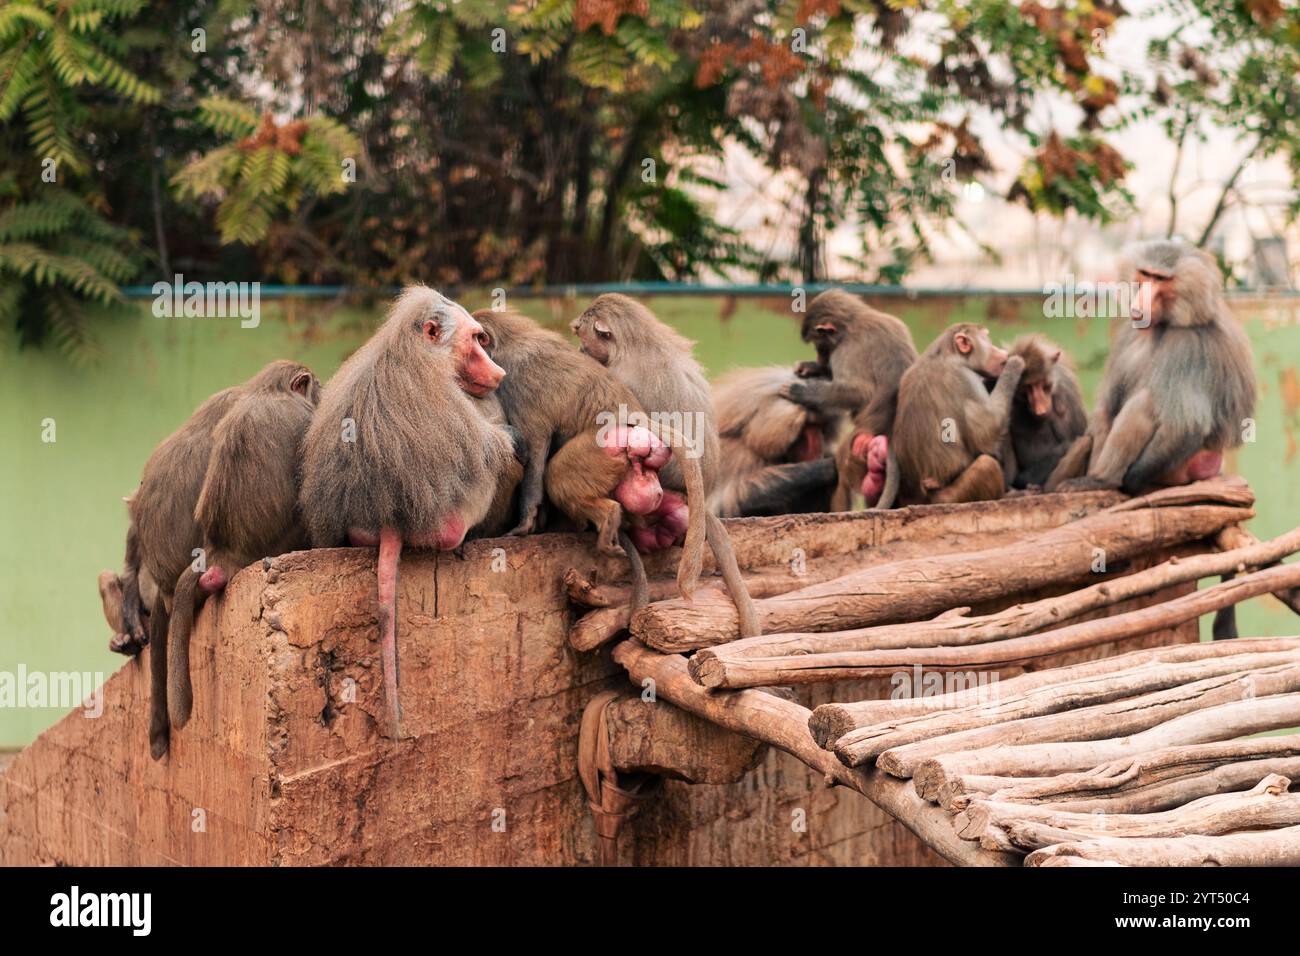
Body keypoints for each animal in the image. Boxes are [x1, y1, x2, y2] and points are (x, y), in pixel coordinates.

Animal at [299, 288, 519, 737]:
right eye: (476, 340)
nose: (499, 373)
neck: (414, 348)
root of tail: (389, 519)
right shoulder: (451, 398)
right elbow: (490, 447)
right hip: (447, 518)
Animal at [707, 366, 839, 517]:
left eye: (821, 427)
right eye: (809, 426)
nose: (817, 449)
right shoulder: (739, 455)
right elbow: (722, 508)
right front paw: (823, 469)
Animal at [777, 289, 918, 510]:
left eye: (819, 345)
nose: (819, 357)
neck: (853, 322)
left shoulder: (846, 349)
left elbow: (860, 392)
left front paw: (802, 392)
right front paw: (811, 367)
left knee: (841, 466)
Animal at [886, 324, 1025, 507]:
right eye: (987, 339)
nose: (1000, 350)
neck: (947, 353)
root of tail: (919, 501)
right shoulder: (967, 378)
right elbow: (986, 434)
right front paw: (1014, 366)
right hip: (951, 497)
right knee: (986, 465)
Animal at [1055, 239, 1256, 495]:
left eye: (1161, 279)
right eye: (1146, 274)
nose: (1140, 303)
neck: (1164, 324)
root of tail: (1215, 463)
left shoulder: (1187, 346)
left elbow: (1186, 425)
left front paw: (1128, 481)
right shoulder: (1127, 337)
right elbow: (1107, 405)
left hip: (1182, 468)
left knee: (1146, 403)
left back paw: (1103, 480)